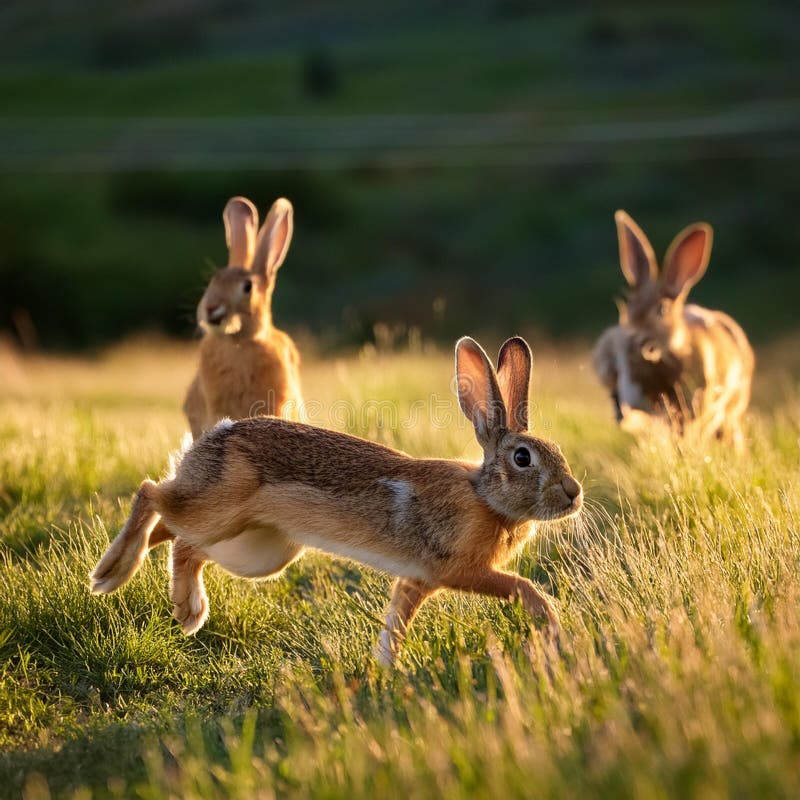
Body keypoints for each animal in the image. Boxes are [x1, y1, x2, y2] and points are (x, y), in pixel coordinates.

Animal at [90, 336, 583, 666]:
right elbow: (520, 587)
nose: (574, 494)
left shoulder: (417, 580)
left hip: (257, 549)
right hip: (221, 513)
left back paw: (186, 609)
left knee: (181, 541)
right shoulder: (460, 569)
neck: (486, 496)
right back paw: (112, 574)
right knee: (152, 495)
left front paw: (384, 669)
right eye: (523, 457)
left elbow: (397, 620)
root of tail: (217, 434)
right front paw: (554, 627)